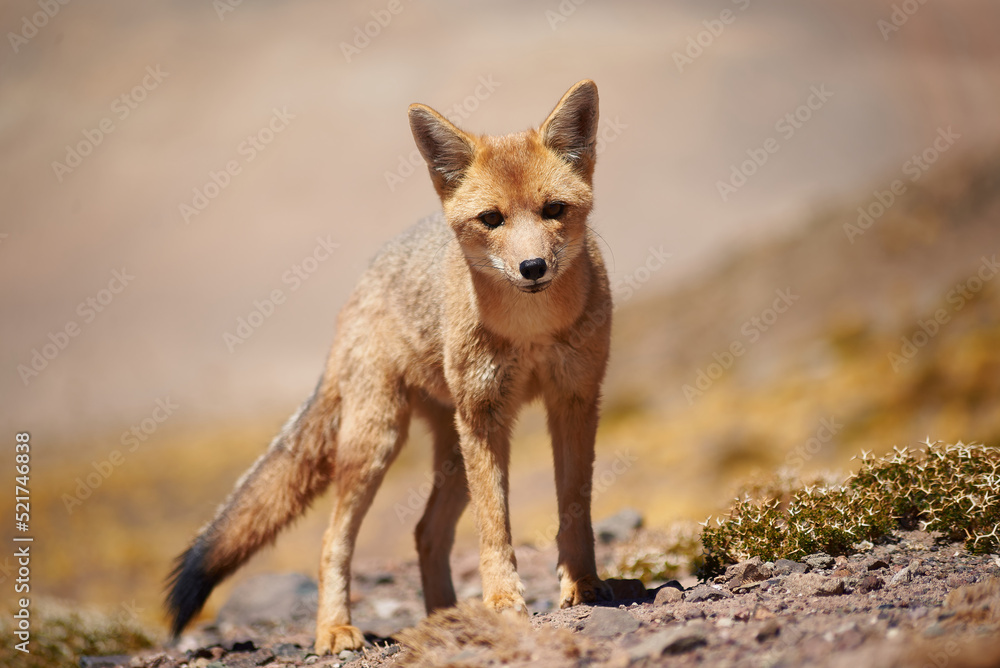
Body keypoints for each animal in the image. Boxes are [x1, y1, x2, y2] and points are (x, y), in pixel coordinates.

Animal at [165, 79, 644, 655]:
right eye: (492, 219)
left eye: (554, 209)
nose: (532, 268)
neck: (529, 330)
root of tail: (363, 281)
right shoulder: (484, 415)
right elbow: (494, 525)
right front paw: (503, 601)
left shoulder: (575, 401)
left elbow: (575, 505)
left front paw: (583, 583)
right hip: (380, 442)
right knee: (333, 540)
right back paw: (335, 628)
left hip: (453, 453)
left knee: (426, 533)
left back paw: (445, 617)